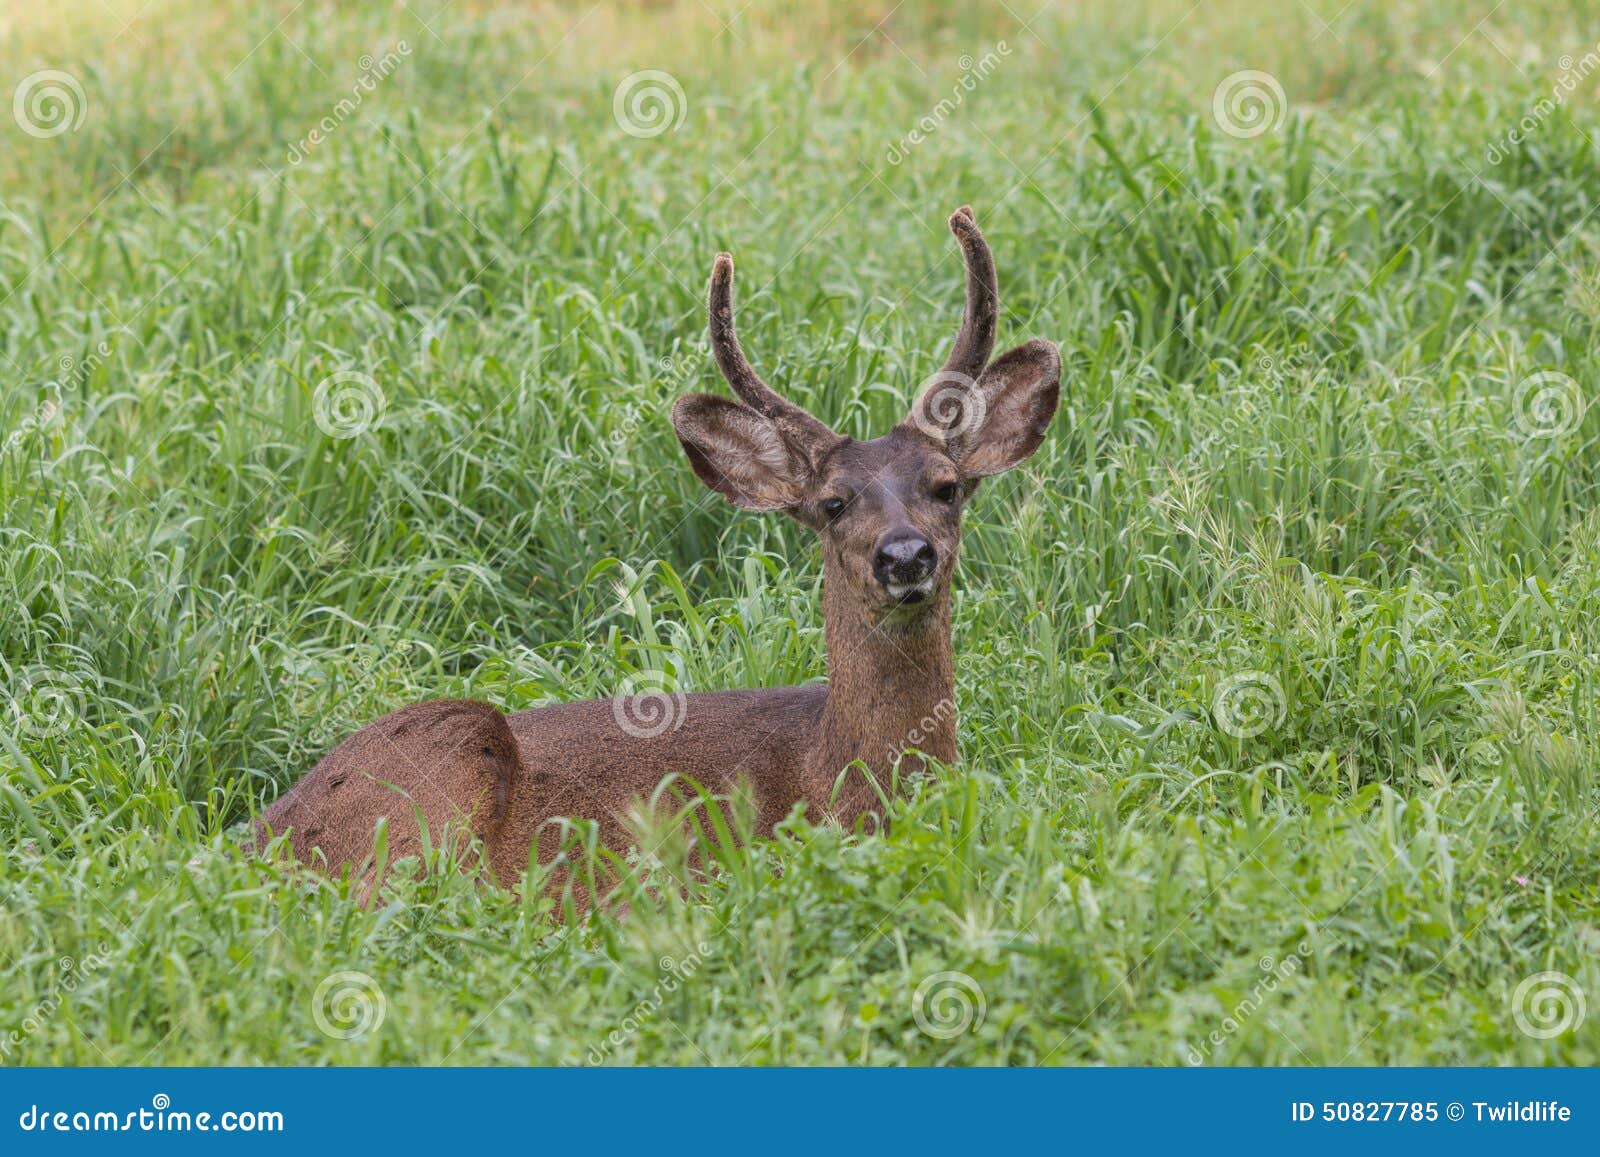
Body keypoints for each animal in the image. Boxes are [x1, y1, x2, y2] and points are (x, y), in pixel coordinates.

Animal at [253, 206, 1061, 903]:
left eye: (947, 486)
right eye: (832, 504)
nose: (905, 556)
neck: (830, 773)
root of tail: (257, 836)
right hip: (448, 744)